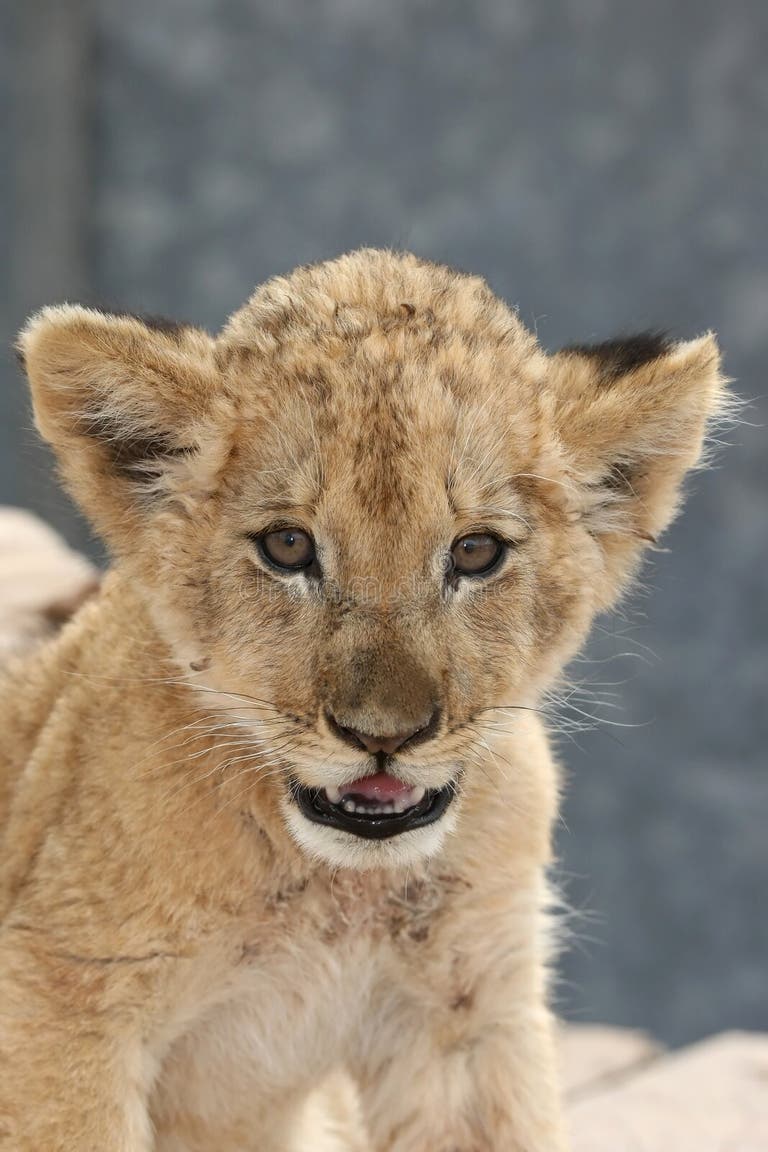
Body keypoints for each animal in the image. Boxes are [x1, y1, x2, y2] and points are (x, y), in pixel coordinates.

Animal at [0, 249, 727, 1151]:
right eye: (287, 546)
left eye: (475, 552)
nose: (384, 735)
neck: (343, 890)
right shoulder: (66, 994)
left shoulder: (467, 1003)